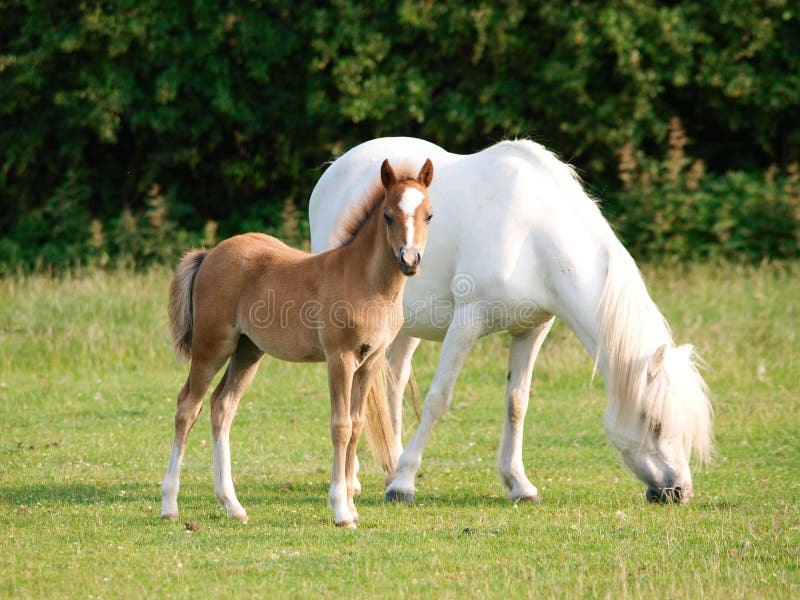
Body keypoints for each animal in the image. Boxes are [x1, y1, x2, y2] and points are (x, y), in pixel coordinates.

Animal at [160, 158, 435, 528]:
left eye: (429, 215)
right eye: (389, 215)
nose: (409, 260)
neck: (366, 282)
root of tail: (210, 253)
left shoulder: (371, 360)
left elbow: (357, 426)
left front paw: (352, 506)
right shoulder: (340, 358)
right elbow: (340, 426)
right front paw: (340, 509)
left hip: (248, 351)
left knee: (222, 406)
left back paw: (232, 505)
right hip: (212, 346)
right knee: (188, 406)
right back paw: (170, 505)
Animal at [309, 137, 713, 505]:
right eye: (653, 422)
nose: (679, 492)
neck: (532, 233)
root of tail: (337, 167)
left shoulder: (532, 330)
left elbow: (517, 402)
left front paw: (519, 484)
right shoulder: (466, 323)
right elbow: (439, 399)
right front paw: (404, 485)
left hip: (407, 324)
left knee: (394, 380)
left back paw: (391, 466)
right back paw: (358, 479)